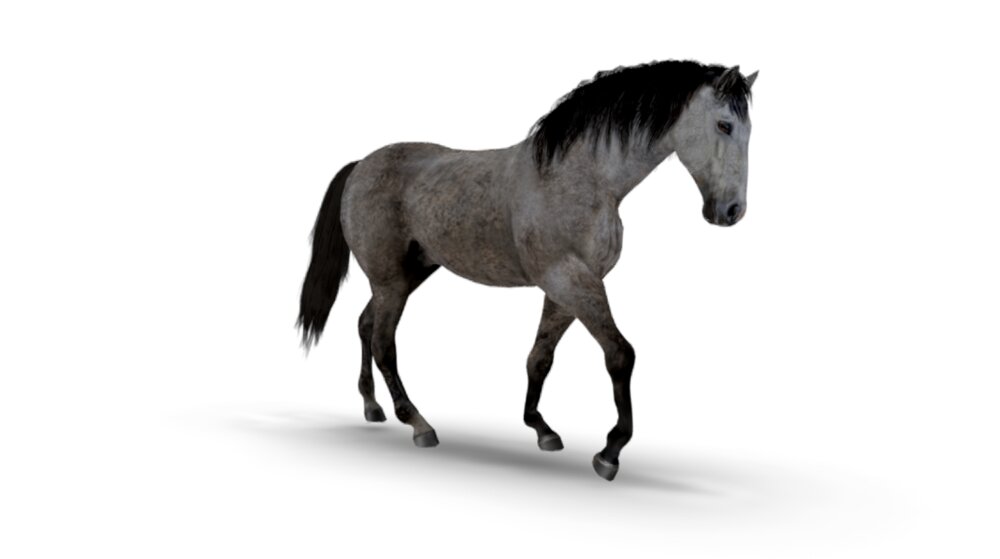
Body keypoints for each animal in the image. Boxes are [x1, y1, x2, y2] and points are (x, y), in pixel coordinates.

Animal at [298, 60, 757, 481]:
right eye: (724, 125)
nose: (731, 212)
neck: (580, 177)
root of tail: (361, 166)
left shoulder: (567, 287)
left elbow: (540, 358)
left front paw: (542, 430)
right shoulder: (570, 279)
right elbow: (619, 354)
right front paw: (610, 452)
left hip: (409, 275)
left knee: (364, 324)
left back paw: (372, 407)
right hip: (390, 280)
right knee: (383, 343)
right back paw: (419, 424)